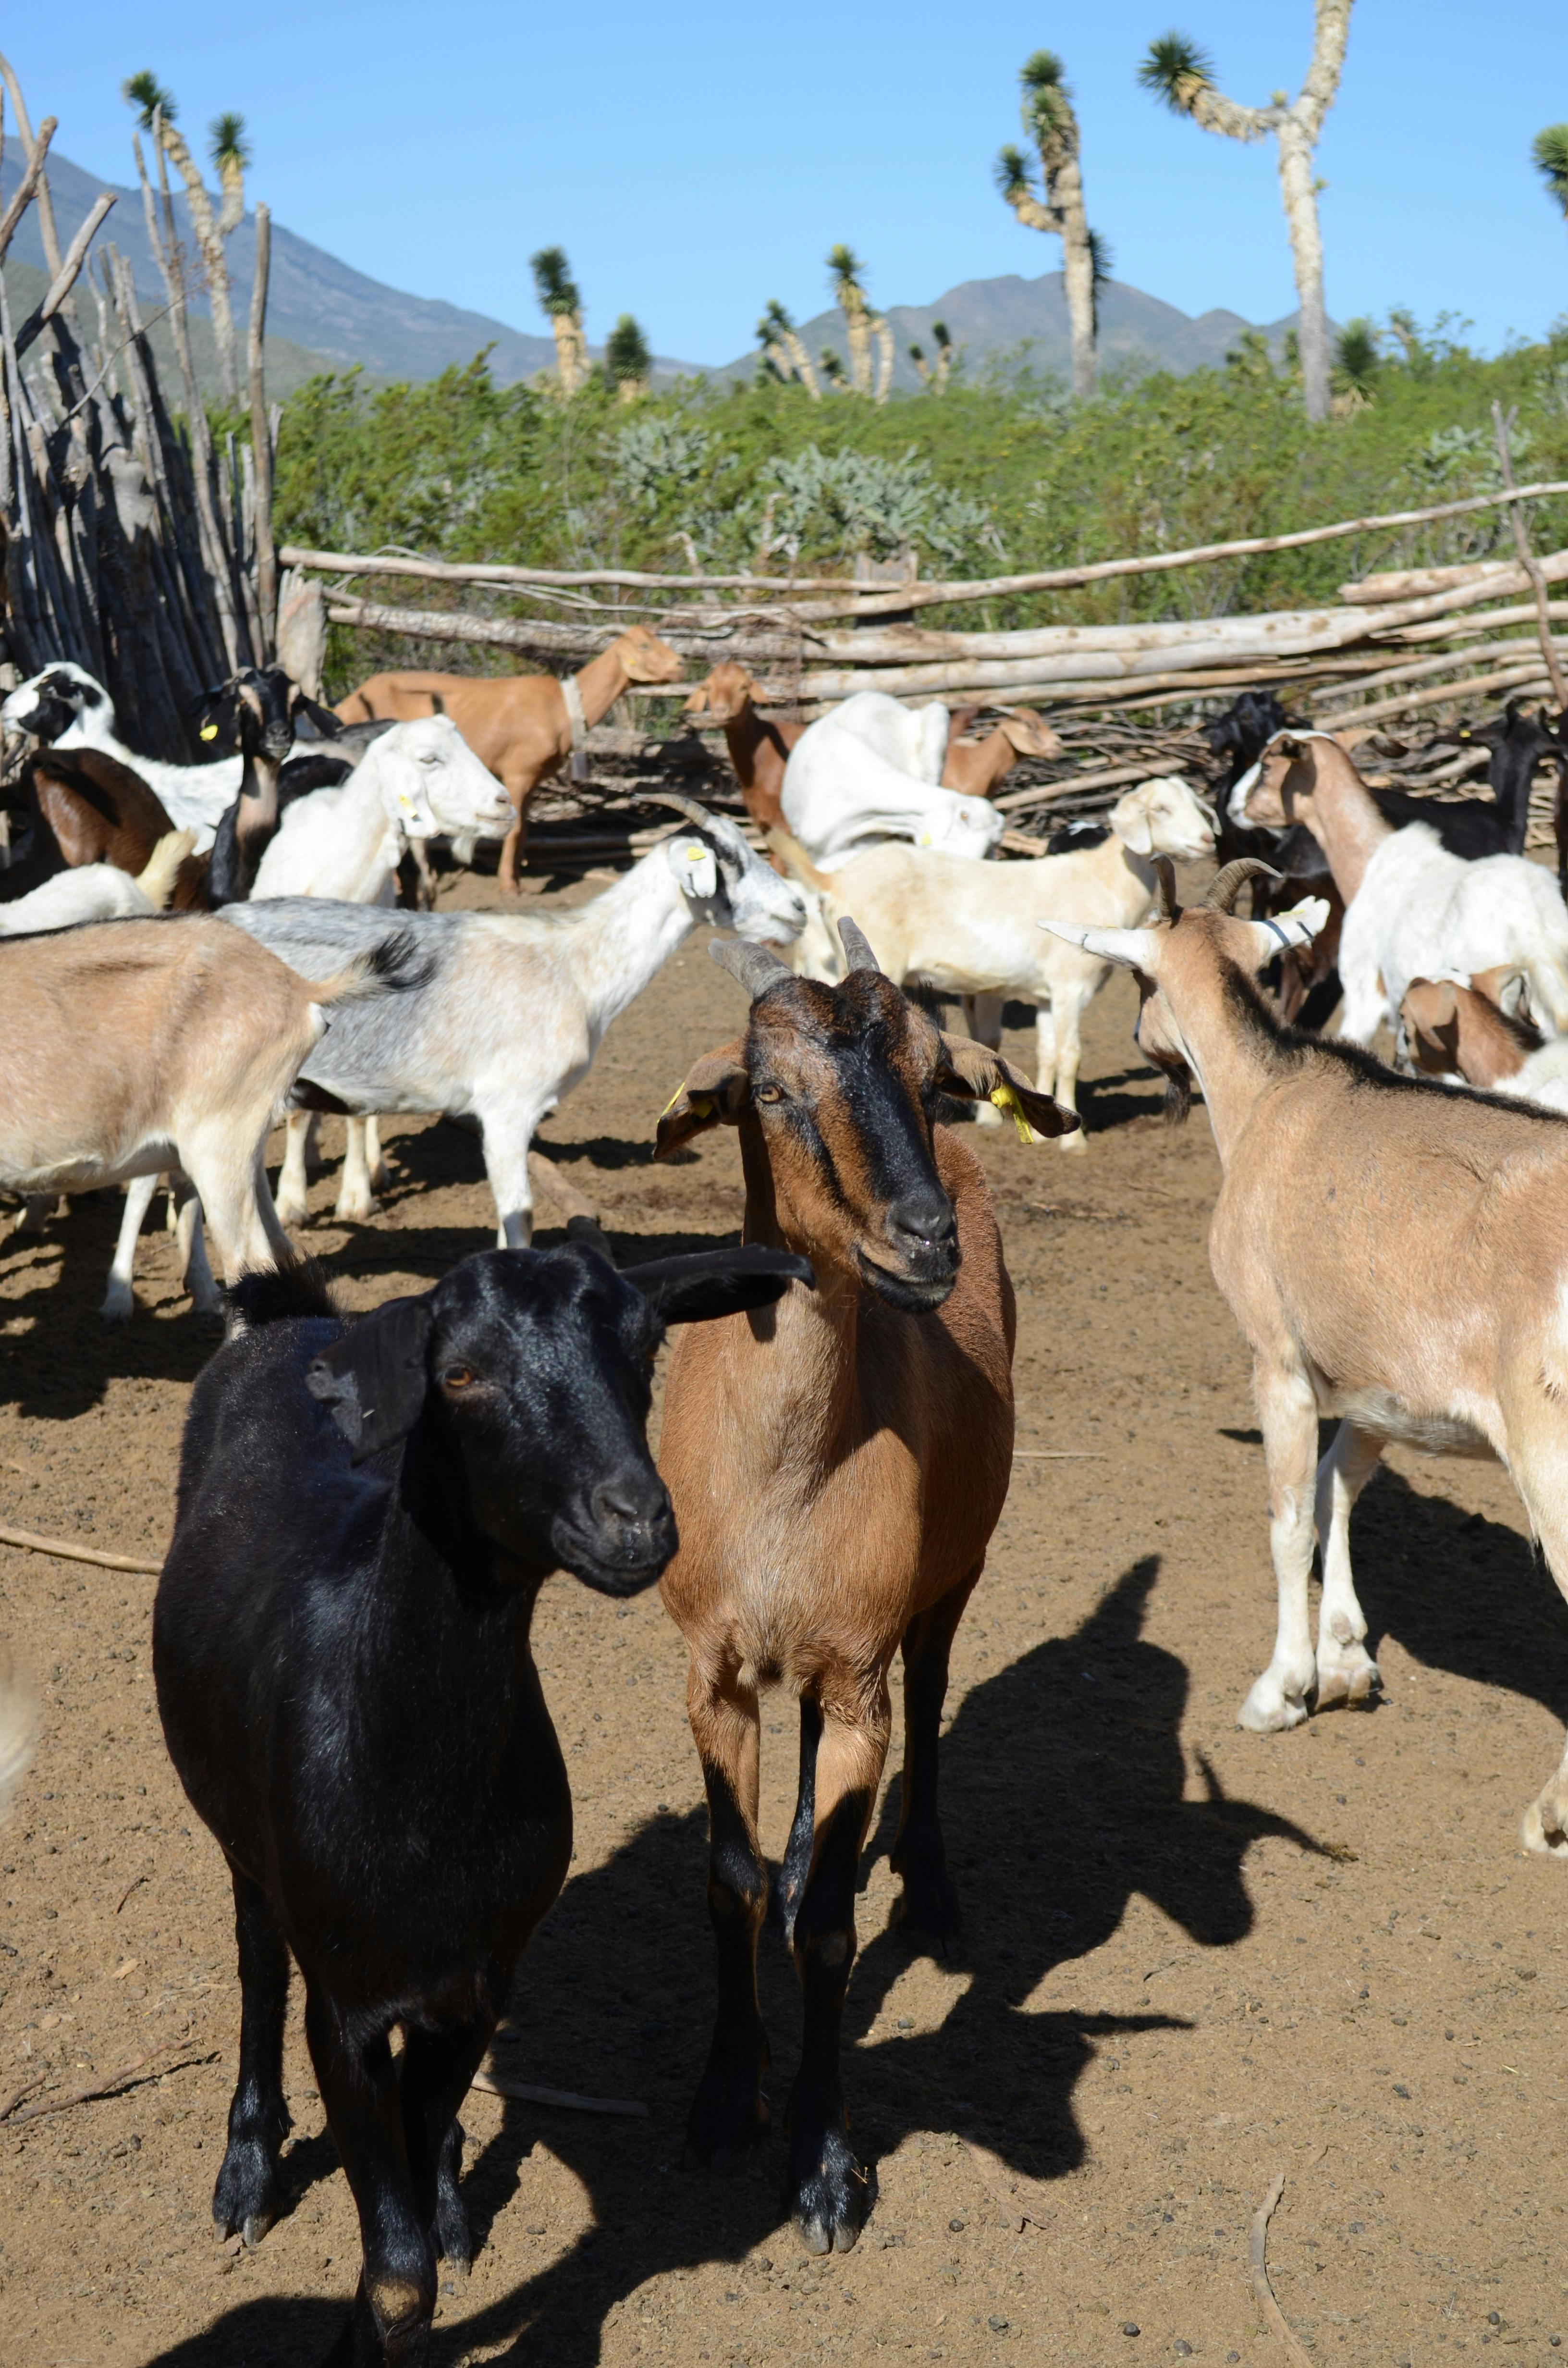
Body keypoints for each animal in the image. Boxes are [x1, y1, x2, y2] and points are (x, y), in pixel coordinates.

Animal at [154, 1233, 808, 2367]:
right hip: (243, 1836)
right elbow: (395, 2270)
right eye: (458, 1374)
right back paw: (247, 2170)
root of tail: (290, 1318)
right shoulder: (346, 2004)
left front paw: (427, 2238)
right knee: (255, 1956)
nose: (634, 1519)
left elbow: (408, 2232)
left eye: (647, 1347)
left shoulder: (479, 1982)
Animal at [336, 626, 686, 892]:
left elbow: (527, 829)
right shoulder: (518, 772)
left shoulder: (535, 778)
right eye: (643, 645)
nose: (681, 664)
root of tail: (347, 703)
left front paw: (518, 875)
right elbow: (515, 828)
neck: (562, 709)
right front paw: (509, 885)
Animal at [654, 924, 1075, 2253]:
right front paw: (721, 2099)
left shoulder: (860, 1680)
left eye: (938, 1077)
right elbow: (727, 1883)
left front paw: (825, 2167)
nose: (925, 1239)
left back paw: (930, 1891)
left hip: (951, 1577)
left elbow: (834, 1931)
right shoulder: (716, 1672)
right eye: (768, 1090)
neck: (787, 1480)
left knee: (935, 1703)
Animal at [770, 775, 1215, 1145]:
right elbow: (1070, 1056)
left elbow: (1047, 1051)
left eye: (1196, 803)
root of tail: (836, 879)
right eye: (1161, 809)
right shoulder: (1071, 985)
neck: (1106, 883)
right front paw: (1075, 1143)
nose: (1208, 840)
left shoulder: (1047, 993)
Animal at [1042, 857, 1568, 1856]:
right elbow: (1336, 1485)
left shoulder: (1276, 1356)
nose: (1138, 1035)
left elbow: (1287, 1517)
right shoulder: (1375, 1381)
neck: (1270, 1099)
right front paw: (1347, 1658)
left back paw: (1545, 1816)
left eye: (1136, 977)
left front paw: (1278, 1689)